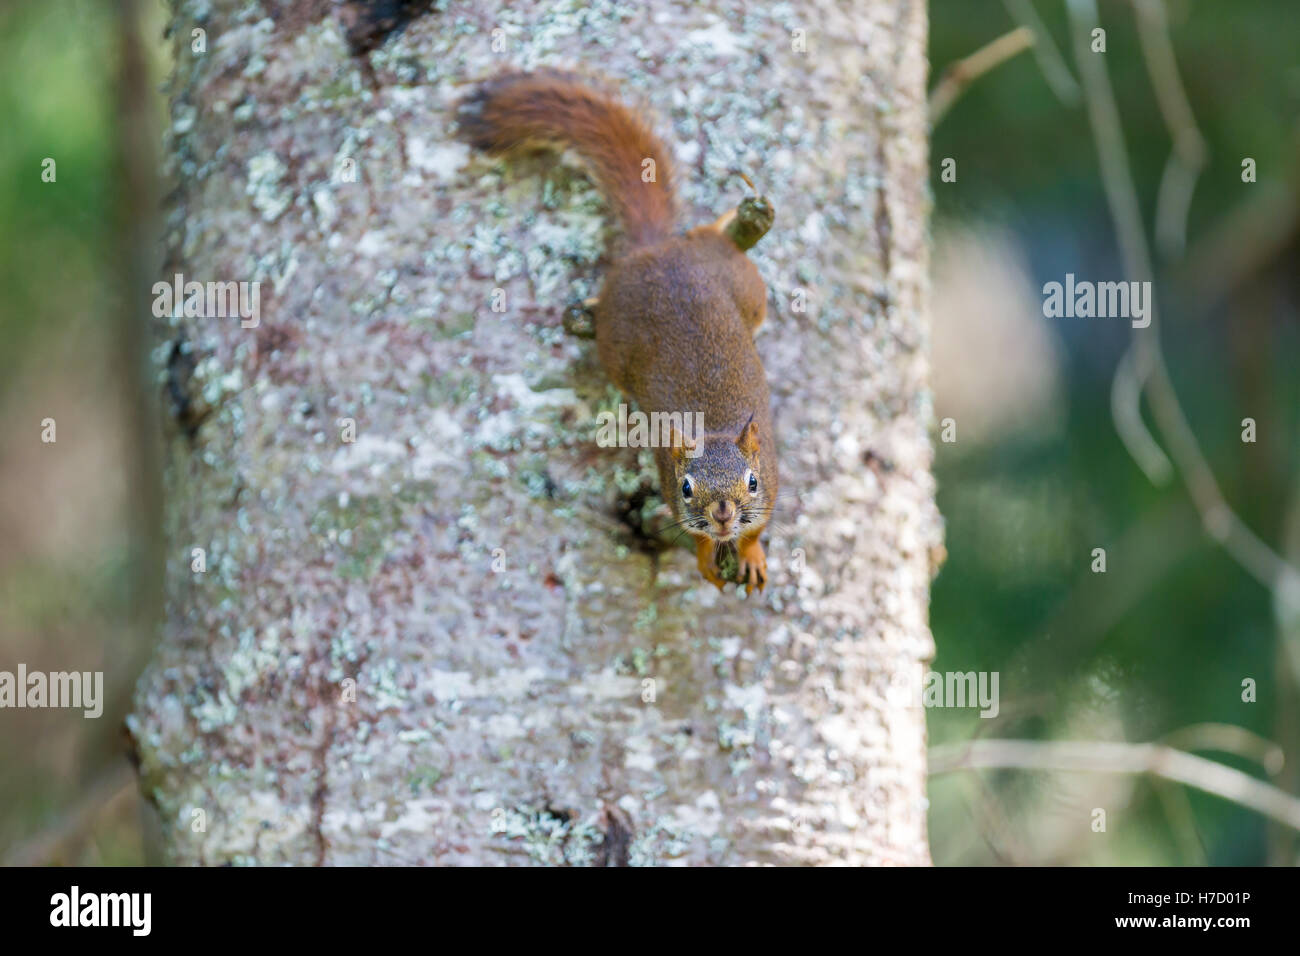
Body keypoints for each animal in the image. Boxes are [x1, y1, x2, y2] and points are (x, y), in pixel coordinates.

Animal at [458, 69, 779, 594]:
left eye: (752, 481)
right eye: (686, 487)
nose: (723, 515)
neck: (713, 425)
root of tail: (654, 251)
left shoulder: (772, 487)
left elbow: (757, 530)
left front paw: (748, 554)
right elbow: (694, 538)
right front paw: (707, 557)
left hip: (748, 290)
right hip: (615, 344)